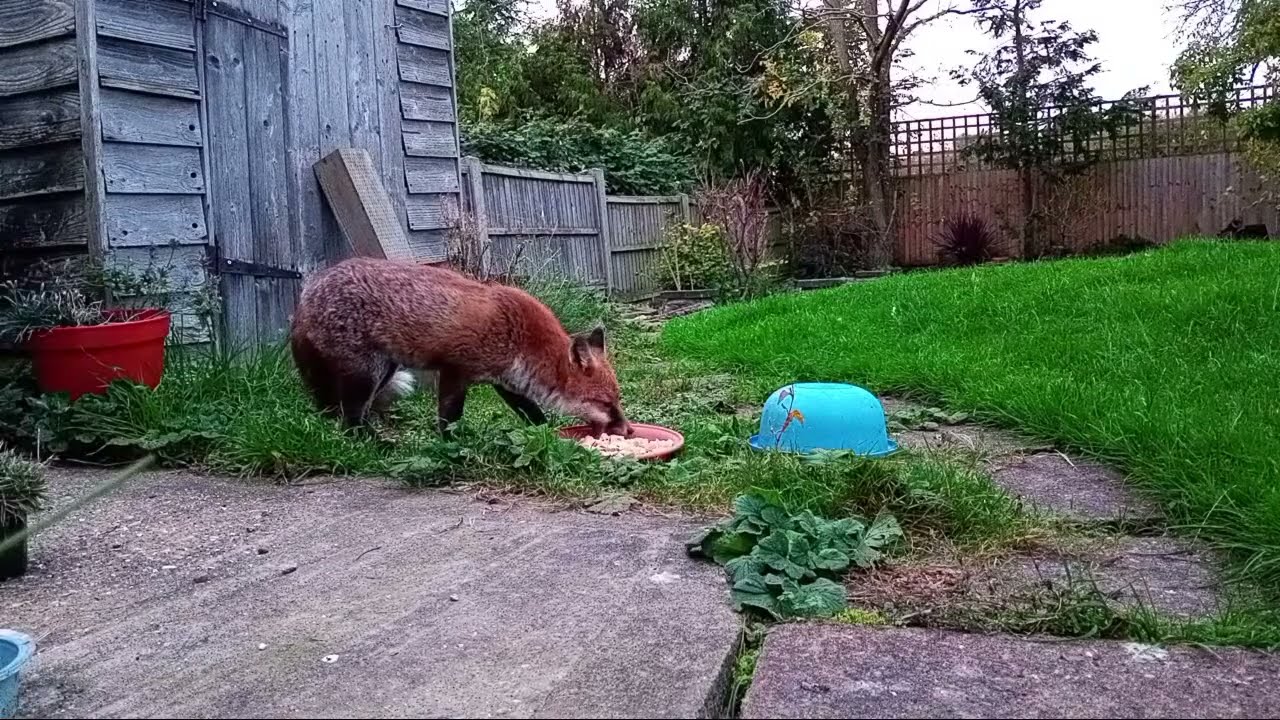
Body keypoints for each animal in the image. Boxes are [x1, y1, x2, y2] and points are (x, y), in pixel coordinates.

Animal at [289, 257, 632, 438]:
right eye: (606, 404)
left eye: (617, 400)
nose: (629, 431)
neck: (522, 338)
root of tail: (307, 294)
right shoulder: (455, 371)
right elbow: (449, 417)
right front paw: (452, 443)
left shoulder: (505, 380)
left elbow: (532, 412)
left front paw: (545, 436)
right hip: (364, 375)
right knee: (350, 420)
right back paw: (377, 443)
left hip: (383, 372)